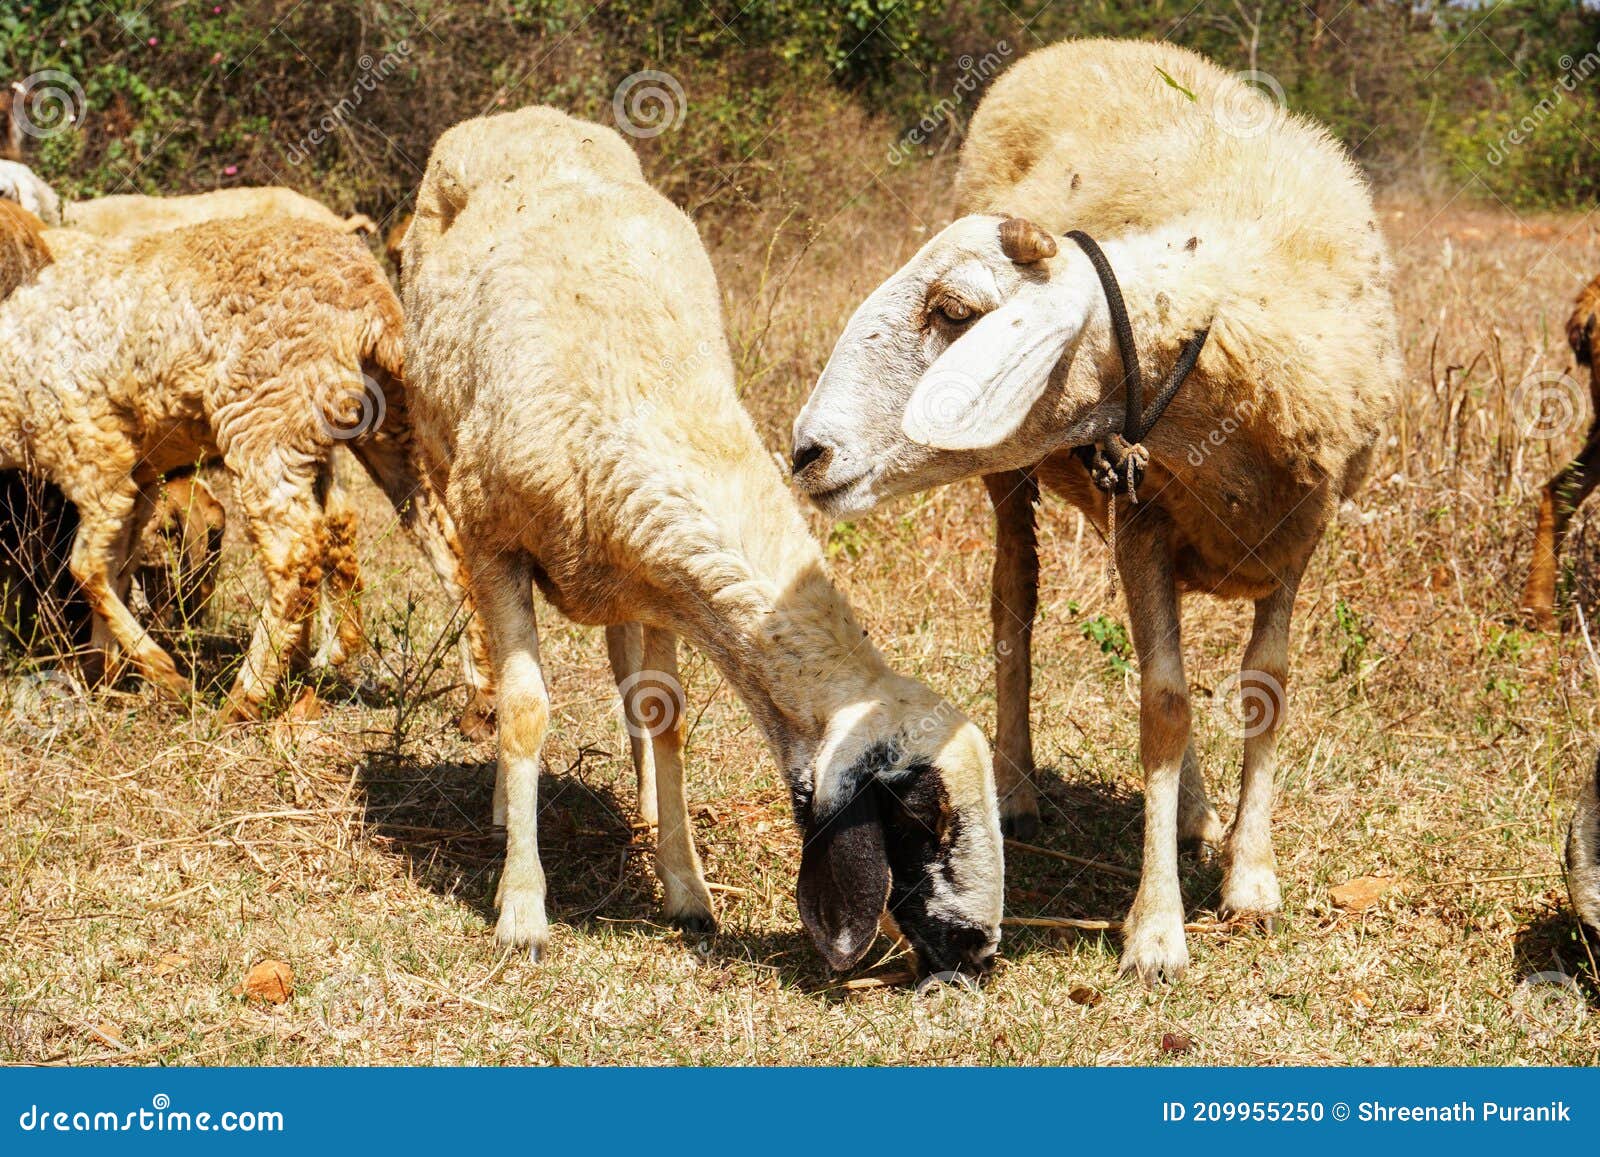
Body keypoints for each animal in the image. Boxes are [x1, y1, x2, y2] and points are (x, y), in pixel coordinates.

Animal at [0, 212, 493, 727]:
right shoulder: (140, 477)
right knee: (441, 539)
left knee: (294, 556)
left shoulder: (94, 457)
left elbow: (88, 568)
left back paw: (245, 697)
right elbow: (118, 565)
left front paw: (158, 672)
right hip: (385, 420)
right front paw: (105, 671)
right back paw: (479, 696)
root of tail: (370, 299)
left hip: (264, 413)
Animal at [401, 105, 1004, 973]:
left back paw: (649, 802)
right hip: (444, 461)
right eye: (925, 819)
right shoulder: (494, 540)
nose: (980, 948)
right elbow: (524, 711)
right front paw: (520, 903)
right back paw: (504, 807)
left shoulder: (659, 583)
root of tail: (520, 114)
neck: (641, 395)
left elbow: (666, 714)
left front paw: (685, 884)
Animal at [792, 38, 1400, 984]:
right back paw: (1020, 783)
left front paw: (1250, 875)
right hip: (1016, 483)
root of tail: (1068, 46)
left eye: (954, 311)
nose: (806, 451)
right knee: (1015, 603)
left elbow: (1260, 688)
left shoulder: (1295, 535)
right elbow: (1164, 705)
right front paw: (1156, 929)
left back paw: (1196, 815)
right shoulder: (1144, 520)